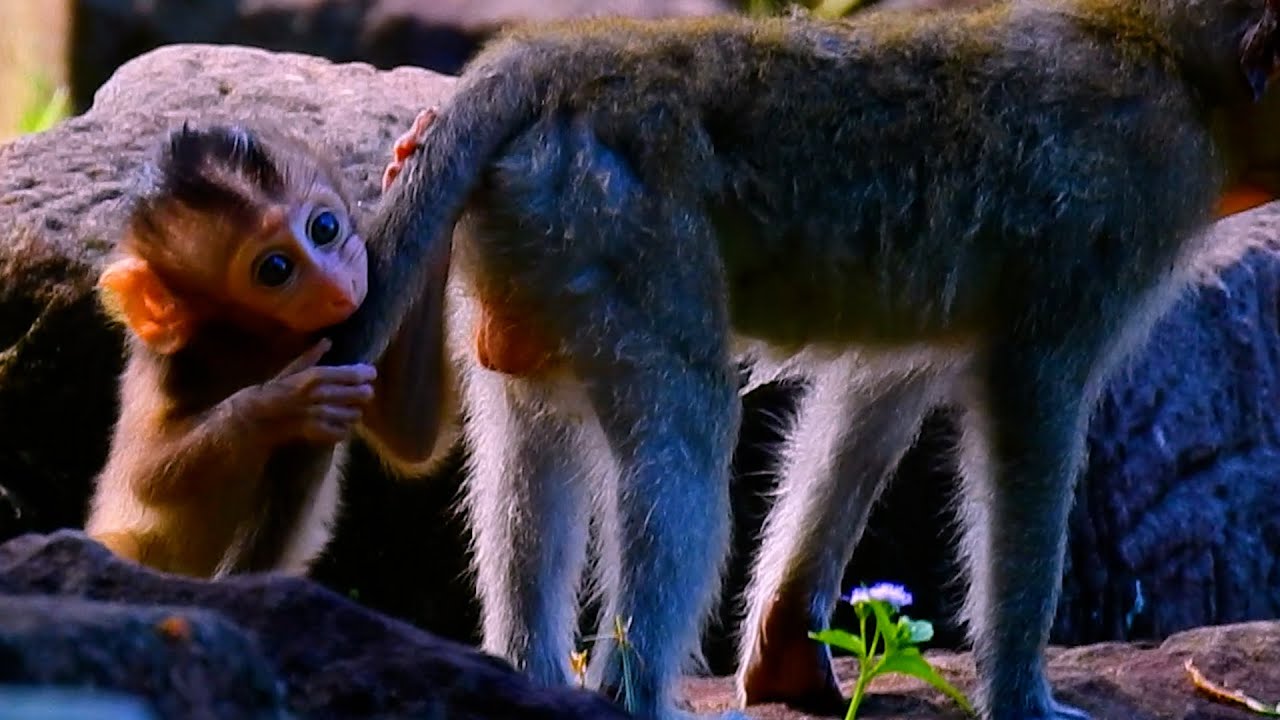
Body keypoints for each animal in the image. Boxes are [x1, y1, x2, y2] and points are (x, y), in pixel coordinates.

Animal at [84, 122, 452, 579]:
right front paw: (284, 403)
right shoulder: (164, 374)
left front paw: (405, 167)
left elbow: (412, 436)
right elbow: (143, 476)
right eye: (276, 269)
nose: (336, 283)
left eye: (324, 227)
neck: (254, 343)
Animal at [306, 0, 1280, 718]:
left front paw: (785, 654)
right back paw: (633, 696)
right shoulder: (1127, 201)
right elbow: (1034, 395)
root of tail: (557, 59)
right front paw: (1020, 695)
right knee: (686, 437)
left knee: (537, 438)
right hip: (617, 221)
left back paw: (531, 678)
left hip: (536, 231)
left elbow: (880, 388)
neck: (1177, 63)